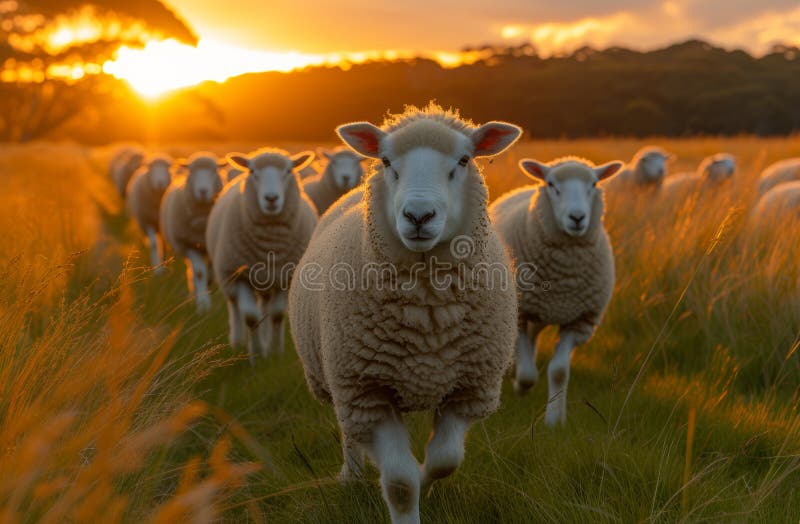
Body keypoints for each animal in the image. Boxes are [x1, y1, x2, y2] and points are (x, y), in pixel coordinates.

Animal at [159, 152, 226, 313]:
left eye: (214, 171)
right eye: (192, 171)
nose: (203, 191)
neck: (201, 225)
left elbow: (211, 273)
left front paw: (209, 292)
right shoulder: (188, 244)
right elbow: (200, 273)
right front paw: (203, 304)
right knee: (194, 272)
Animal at [206, 148, 317, 366]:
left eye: (288, 171)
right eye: (253, 172)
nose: (271, 198)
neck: (269, 247)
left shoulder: (285, 277)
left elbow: (276, 315)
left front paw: (274, 352)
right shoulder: (241, 276)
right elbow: (250, 317)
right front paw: (256, 355)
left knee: (265, 308)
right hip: (228, 277)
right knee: (235, 307)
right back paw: (237, 341)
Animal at [288, 104, 522, 524]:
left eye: (464, 160)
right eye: (385, 162)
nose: (418, 215)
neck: (428, 316)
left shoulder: (467, 389)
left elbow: (444, 460)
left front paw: (426, 480)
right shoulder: (369, 392)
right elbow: (399, 481)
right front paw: (403, 488)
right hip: (341, 382)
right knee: (349, 432)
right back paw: (352, 475)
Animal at [489, 156, 623, 427]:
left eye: (594, 184)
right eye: (552, 185)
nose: (577, 217)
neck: (564, 280)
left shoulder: (580, 321)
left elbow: (559, 371)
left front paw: (554, 420)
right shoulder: (520, 314)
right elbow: (528, 373)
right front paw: (522, 386)